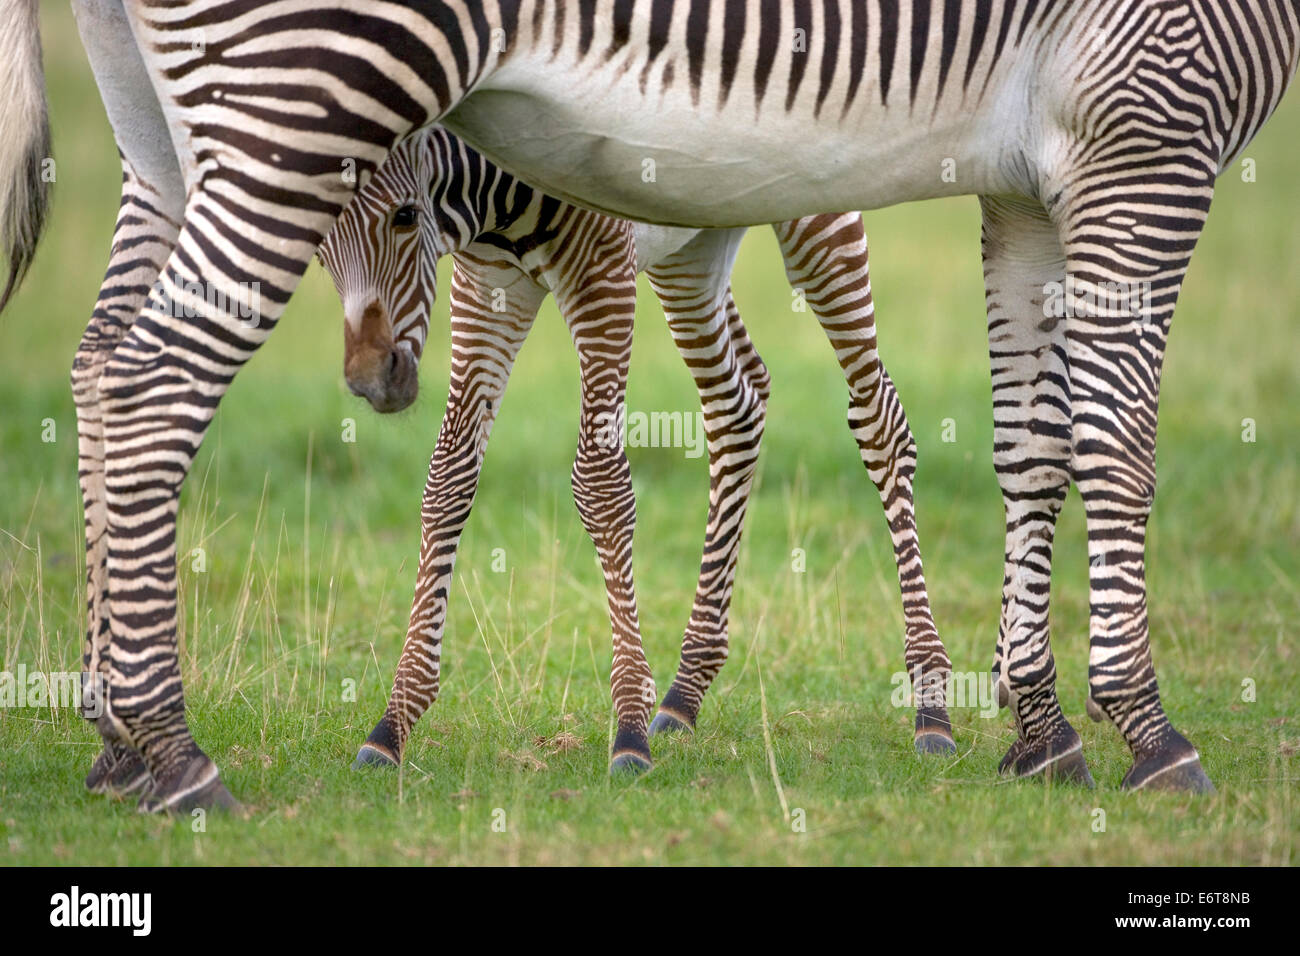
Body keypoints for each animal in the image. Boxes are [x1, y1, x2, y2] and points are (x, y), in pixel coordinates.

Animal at [315, 127, 956, 773]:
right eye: (317, 251)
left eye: (404, 216)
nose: (371, 383)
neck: (496, 199)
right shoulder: (487, 282)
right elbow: (449, 476)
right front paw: (393, 722)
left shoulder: (603, 273)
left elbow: (599, 481)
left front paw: (627, 729)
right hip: (691, 247)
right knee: (738, 403)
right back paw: (685, 691)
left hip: (818, 209)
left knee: (879, 418)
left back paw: (931, 706)